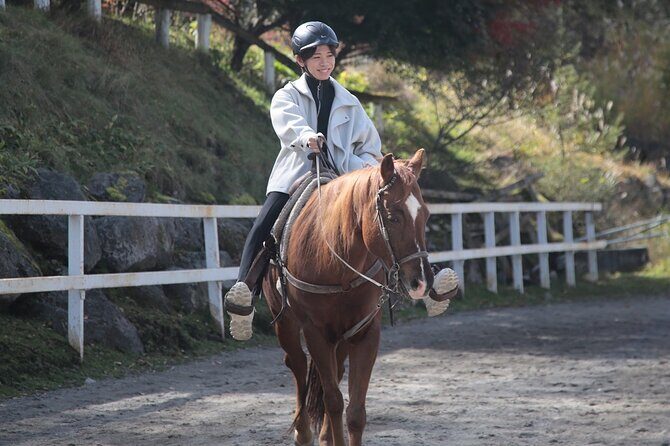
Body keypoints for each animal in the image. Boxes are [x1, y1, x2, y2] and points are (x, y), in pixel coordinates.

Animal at [262, 149, 434, 446]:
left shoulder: (365, 332)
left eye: (425, 215)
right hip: (285, 323)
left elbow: (355, 410)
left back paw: (323, 436)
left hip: (341, 335)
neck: (334, 260)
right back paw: (303, 432)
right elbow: (333, 400)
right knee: (297, 364)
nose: (421, 281)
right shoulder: (316, 333)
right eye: (393, 216)